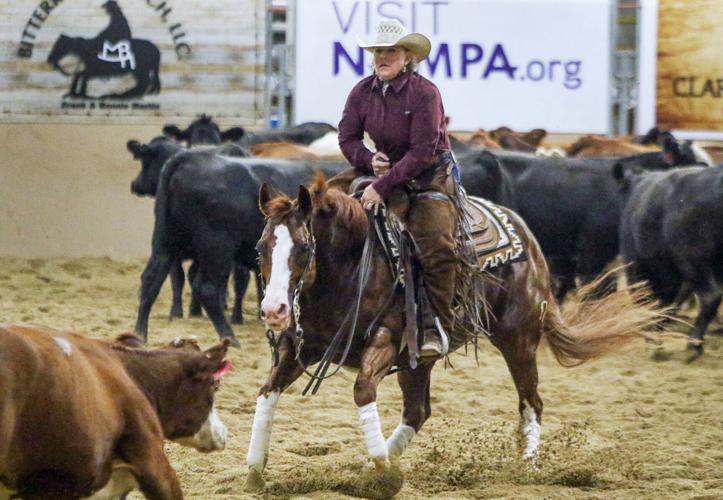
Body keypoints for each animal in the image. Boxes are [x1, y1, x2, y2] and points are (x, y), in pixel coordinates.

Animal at [243, 175, 666, 493]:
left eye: (303, 246)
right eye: (262, 246)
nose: (274, 311)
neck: (351, 267)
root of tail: (527, 236)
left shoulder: (385, 341)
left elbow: (362, 390)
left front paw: (382, 476)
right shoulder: (301, 346)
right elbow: (267, 390)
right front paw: (255, 470)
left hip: (518, 339)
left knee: (531, 401)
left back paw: (527, 465)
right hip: (418, 361)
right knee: (418, 411)